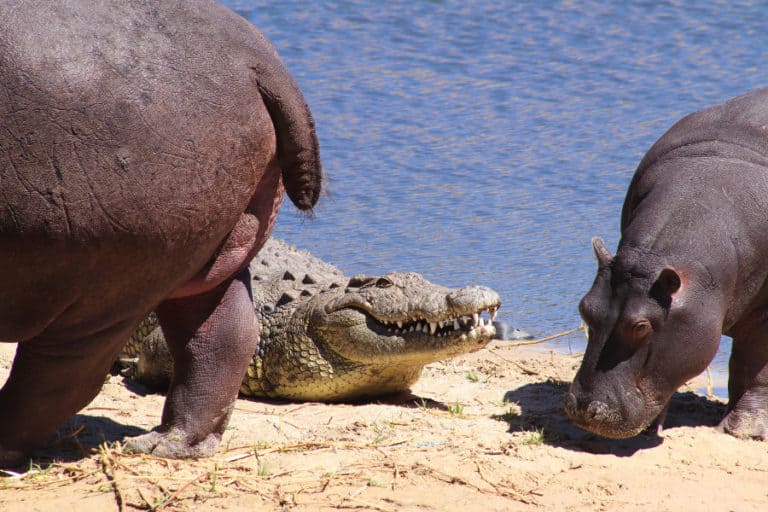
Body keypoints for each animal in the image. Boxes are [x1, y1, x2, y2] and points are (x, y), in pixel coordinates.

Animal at [0, 0, 322, 466]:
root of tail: (258, 59)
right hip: (209, 249)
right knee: (220, 336)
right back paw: (171, 443)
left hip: (104, 275)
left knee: (61, 374)